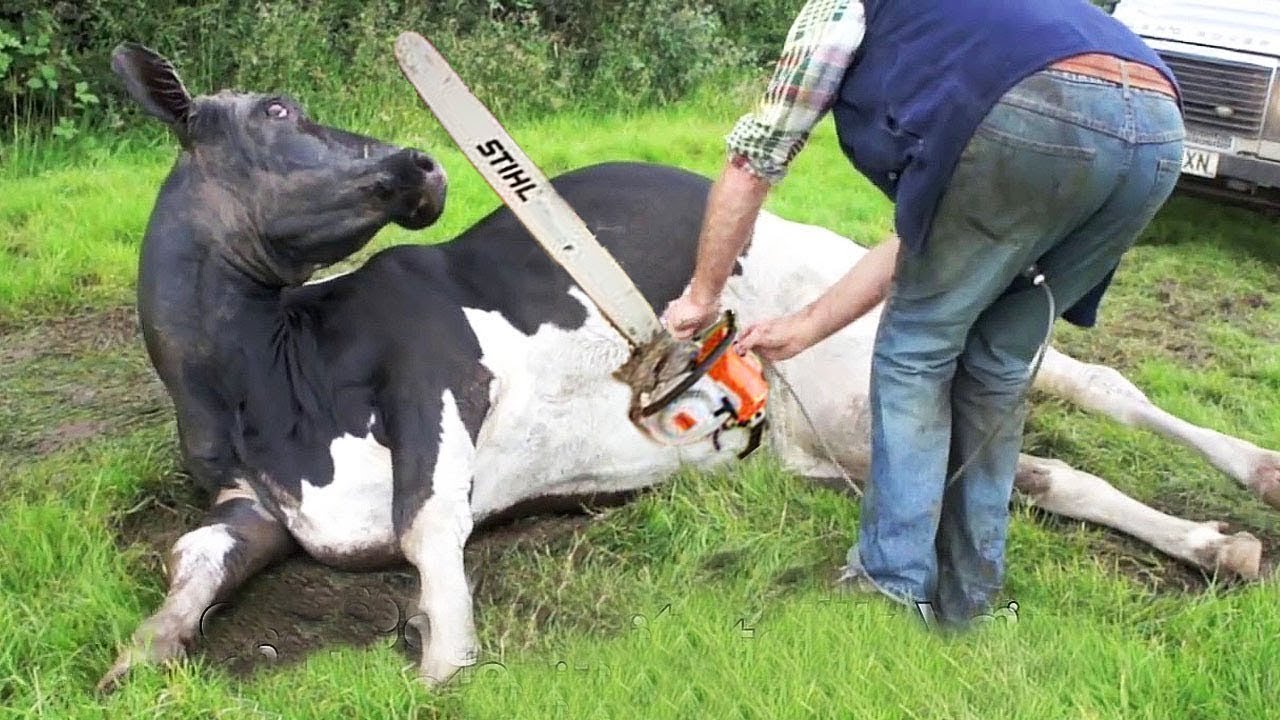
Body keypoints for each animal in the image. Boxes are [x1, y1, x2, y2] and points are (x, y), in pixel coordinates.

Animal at [100, 43, 1280, 692]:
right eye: (276, 113)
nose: (421, 161)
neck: (263, 377)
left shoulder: (432, 368)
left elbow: (427, 522)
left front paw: (444, 650)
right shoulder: (249, 502)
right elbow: (192, 564)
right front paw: (136, 657)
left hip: (867, 348)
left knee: (1084, 401)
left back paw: (1239, 500)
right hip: (829, 438)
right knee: (1035, 461)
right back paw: (1223, 535)